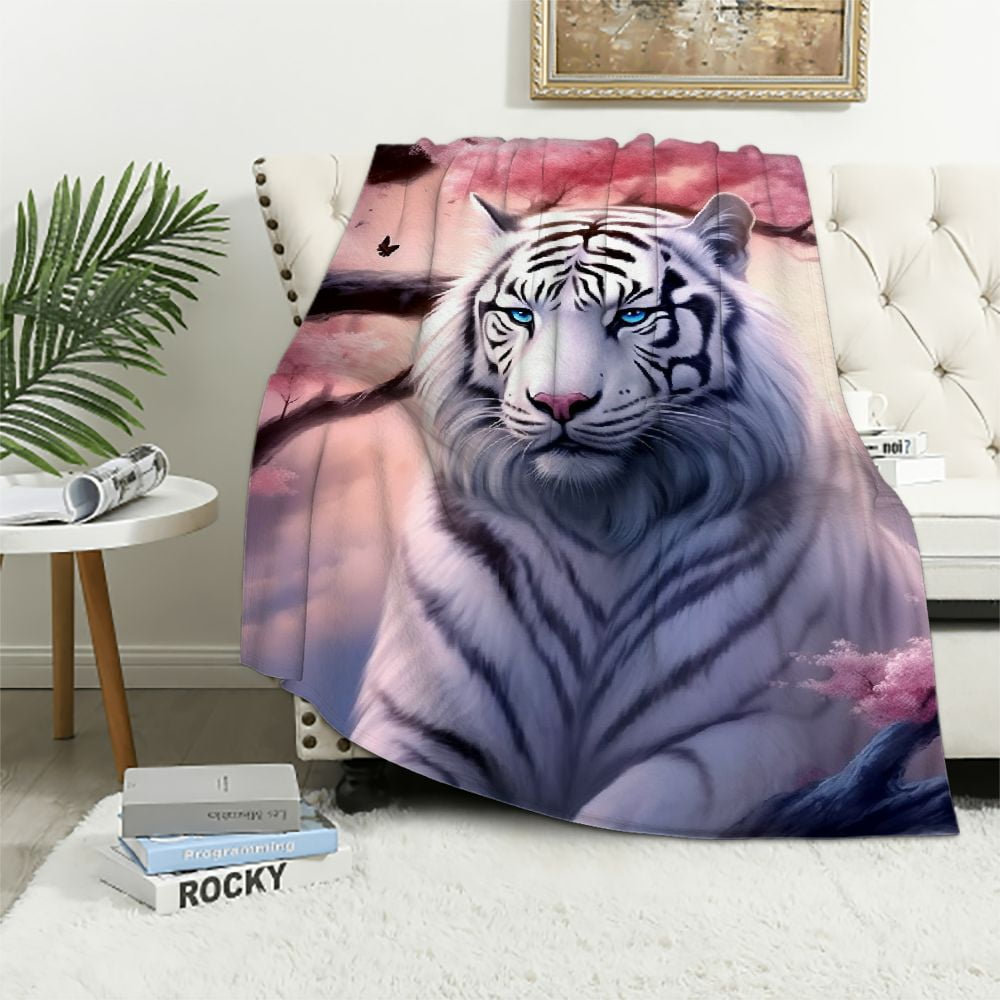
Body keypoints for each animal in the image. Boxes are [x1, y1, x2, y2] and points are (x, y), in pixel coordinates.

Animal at [349, 192, 930, 836]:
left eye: (630, 317)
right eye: (523, 316)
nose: (559, 403)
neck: (598, 519)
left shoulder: (773, 723)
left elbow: (641, 803)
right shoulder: (415, 717)